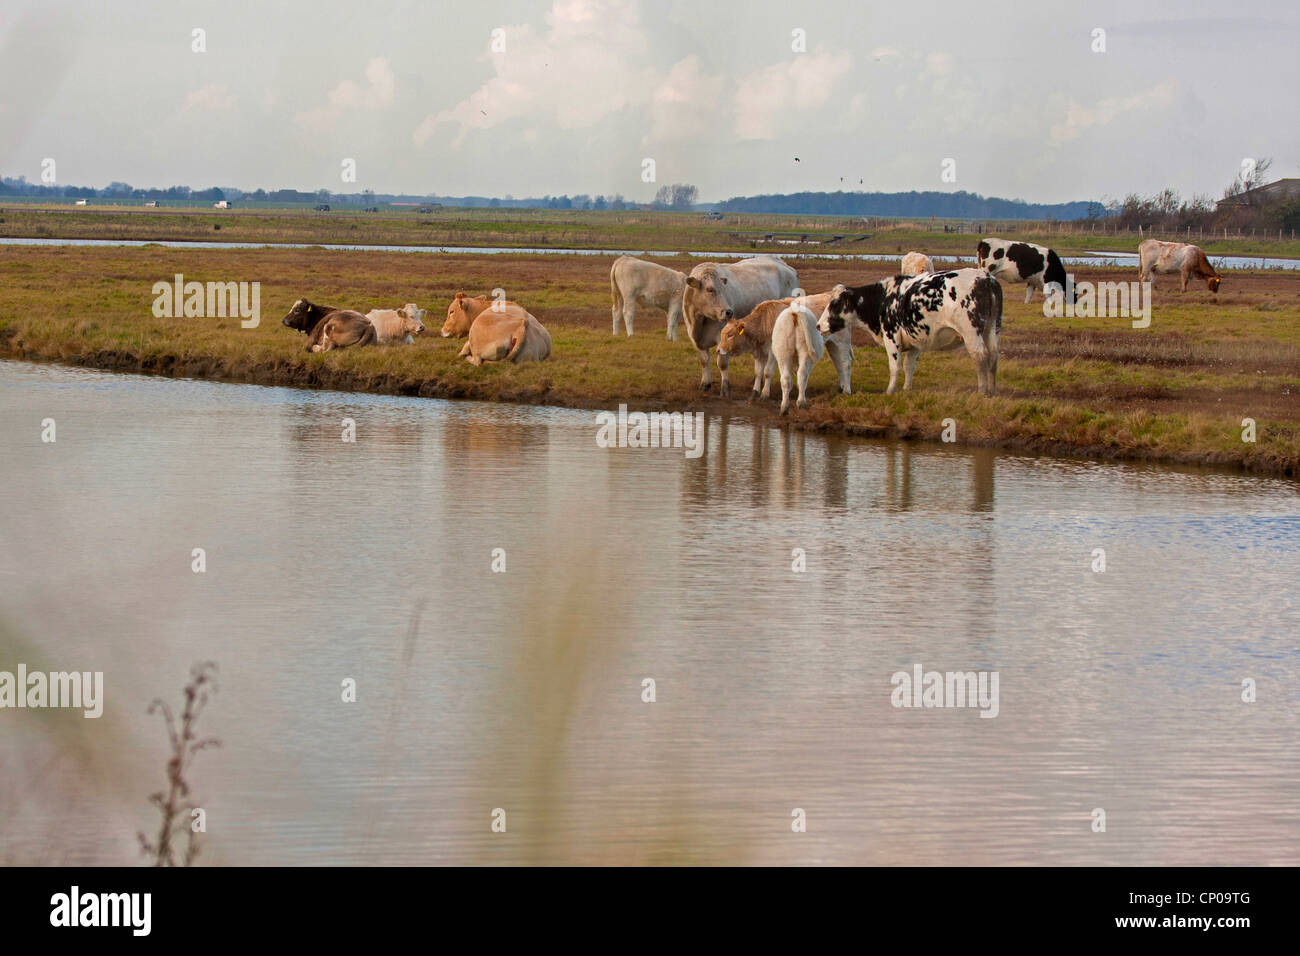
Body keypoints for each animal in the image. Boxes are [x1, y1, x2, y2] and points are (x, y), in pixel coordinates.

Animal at [682, 256, 799, 392]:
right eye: (709, 289)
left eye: (724, 289)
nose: (729, 312)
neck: (699, 323)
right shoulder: (694, 338)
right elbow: (704, 360)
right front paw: (705, 383)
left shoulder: (722, 337)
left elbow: (722, 363)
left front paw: (725, 387)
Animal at [818, 269, 1003, 396]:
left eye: (835, 304)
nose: (819, 325)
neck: (884, 298)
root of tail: (986, 278)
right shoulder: (915, 340)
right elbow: (909, 366)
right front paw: (907, 389)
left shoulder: (891, 336)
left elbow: (895, 366)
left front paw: (890, 390)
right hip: (992, 329)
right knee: (993, 356)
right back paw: (992, 389)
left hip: (971, 333)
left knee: (981, 356)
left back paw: (982, 390)